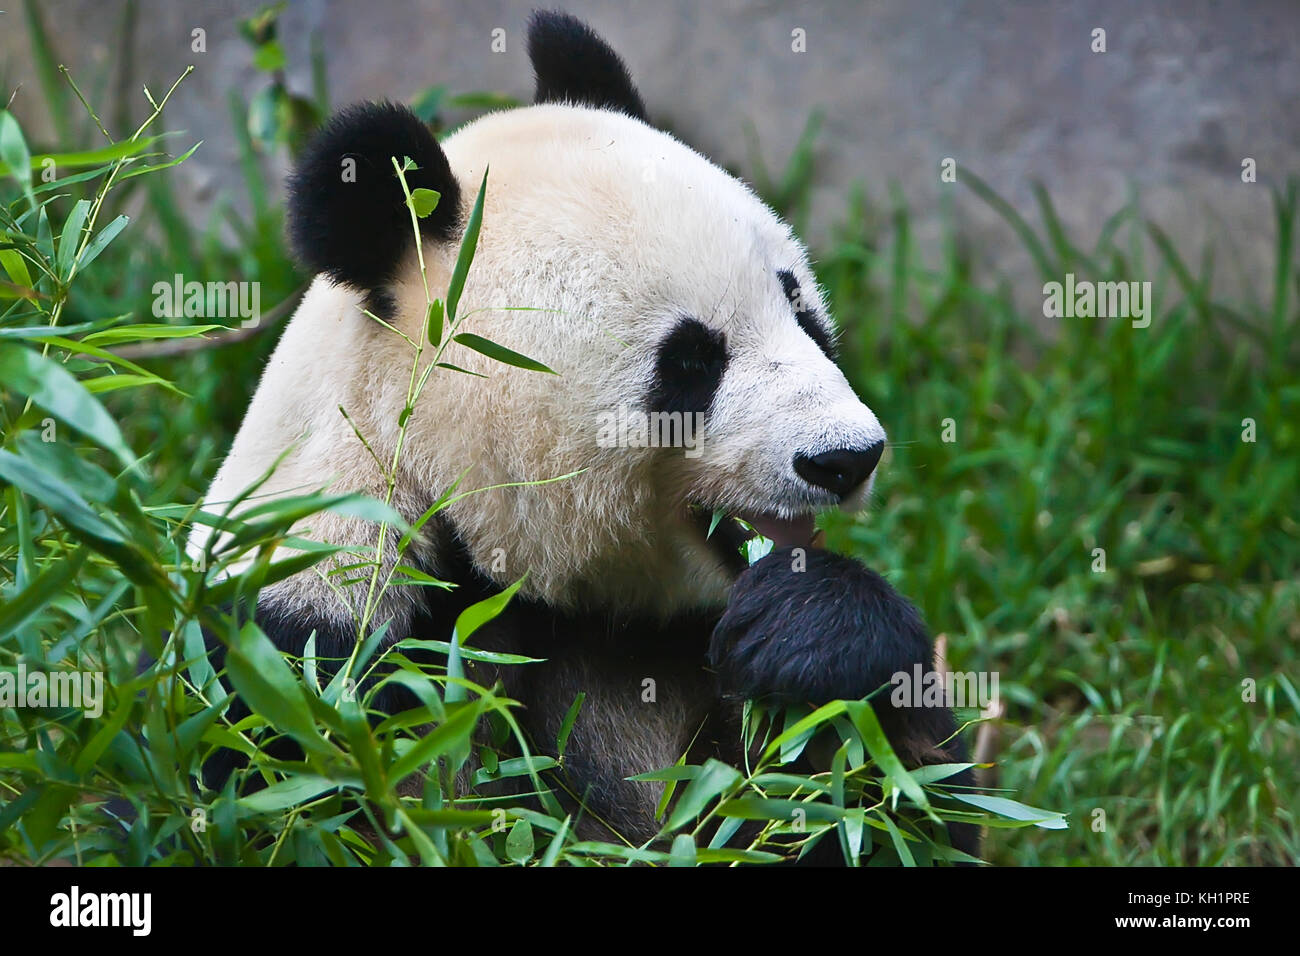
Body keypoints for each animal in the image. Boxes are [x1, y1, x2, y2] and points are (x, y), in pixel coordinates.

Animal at [194, 10, 979, 861]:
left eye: (804, 315)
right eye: (691, 360)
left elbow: (886, 803)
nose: (845, 459)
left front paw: (815, 632)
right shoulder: (306, 643)